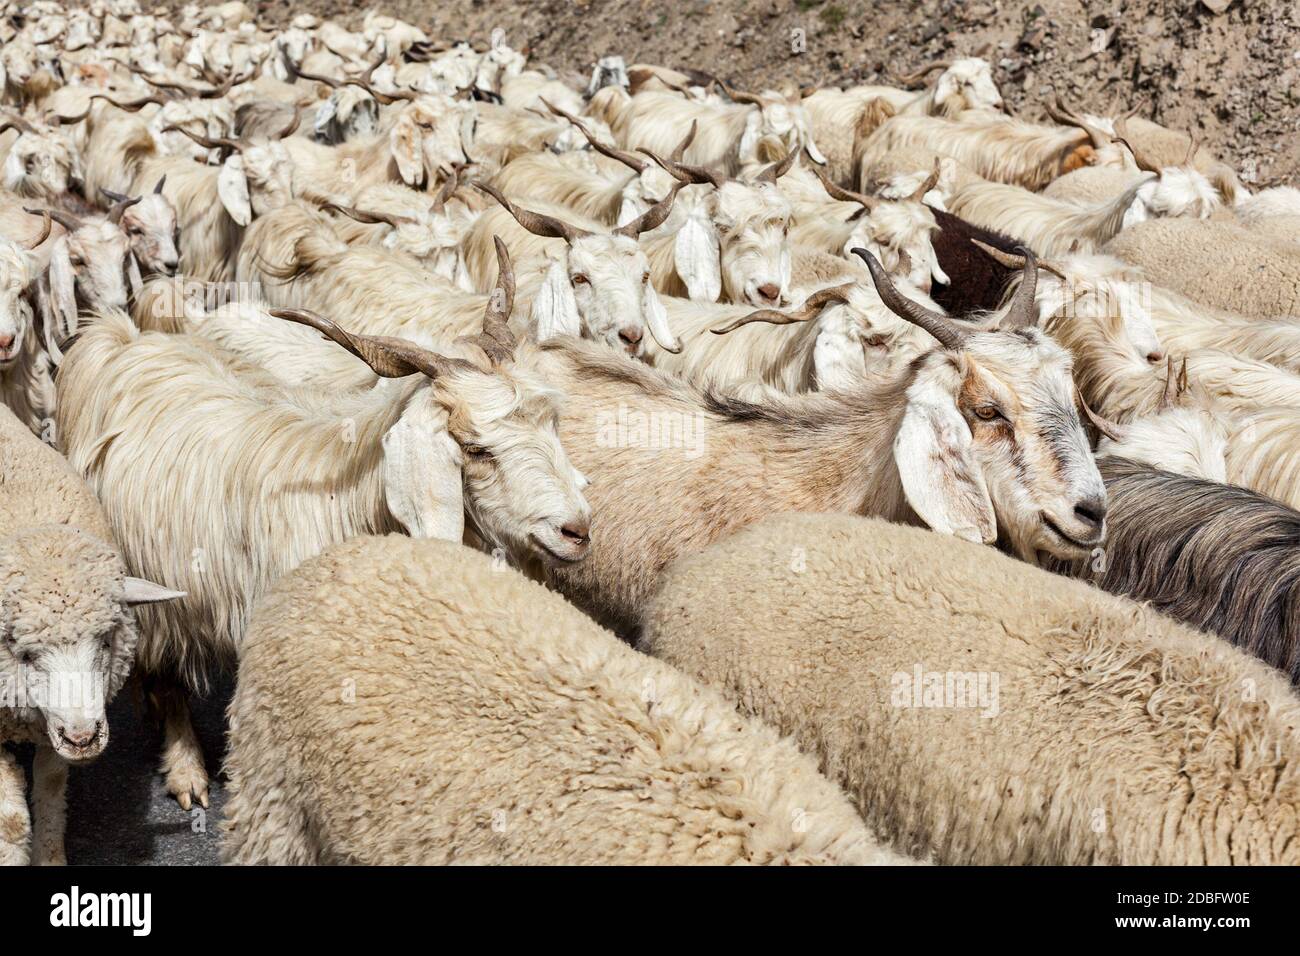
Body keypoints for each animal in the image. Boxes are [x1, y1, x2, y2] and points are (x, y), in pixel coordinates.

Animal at [0, 404, 180, 866]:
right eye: (25, 654)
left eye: (104, 641)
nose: (83, 738)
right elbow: (12, 822)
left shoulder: (50, 727)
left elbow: (50, 788)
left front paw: (50, 856)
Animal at [56, 246, 593, 807]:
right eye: (476, 449)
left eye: (552, 423)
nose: (577, 531)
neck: (352, 499)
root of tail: (119, 342)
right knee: (167, 676)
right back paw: (187, 773)